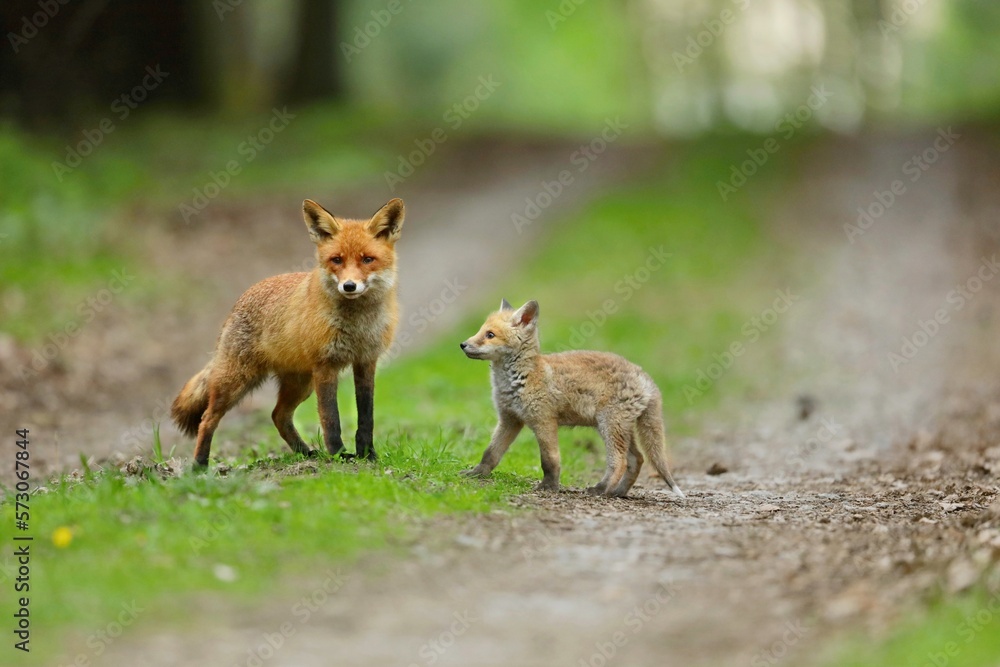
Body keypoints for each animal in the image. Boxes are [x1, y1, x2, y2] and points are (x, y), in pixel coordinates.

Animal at [171, 197, 405, 467]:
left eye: (367, 259)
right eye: (336, 260)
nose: (349, 286)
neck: (357, 324)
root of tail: (239, 301)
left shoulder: (366, 362)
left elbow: (367, 417)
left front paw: (367, 454)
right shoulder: (325, 365)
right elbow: (331, 418)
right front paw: (338, 454)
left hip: (300, 384)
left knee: (278, 416)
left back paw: (306, 453)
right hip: (236, 383)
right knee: (207, 419)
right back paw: (199, 466)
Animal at [459, 299, 684, 498]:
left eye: (490, 335)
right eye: (480, 330)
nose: (463, 344)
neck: (520, 379)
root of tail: (644, 375)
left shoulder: (544, 421)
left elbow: (549, 460)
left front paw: (549, 487)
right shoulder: (509, 420)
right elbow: (491, 453)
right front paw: (476, 474)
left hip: (610, 426)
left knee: (619, 461)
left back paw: (600, 489)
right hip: (617, 428)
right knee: (637, 459)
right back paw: (617, 492)